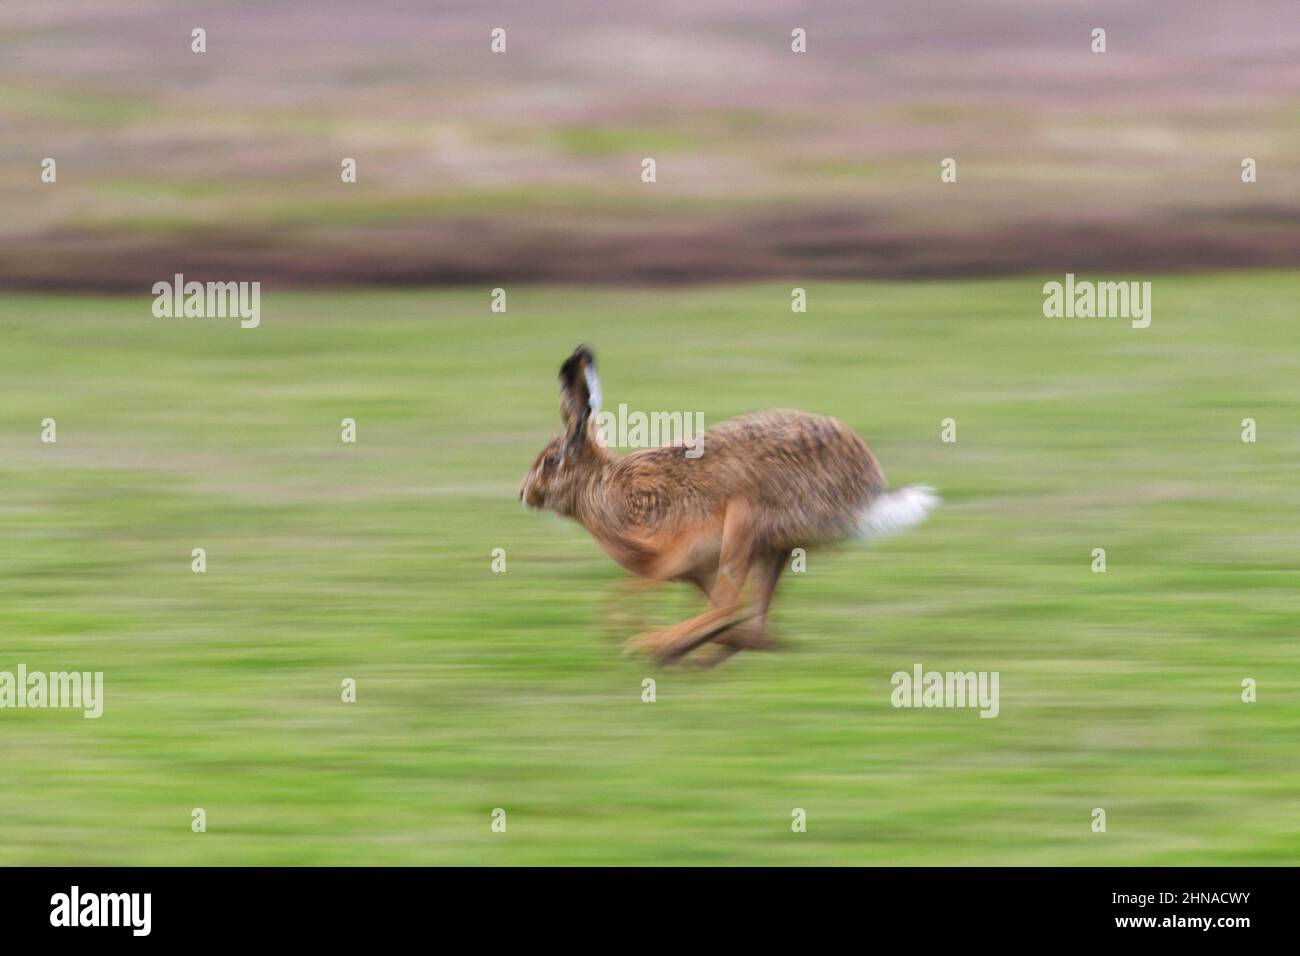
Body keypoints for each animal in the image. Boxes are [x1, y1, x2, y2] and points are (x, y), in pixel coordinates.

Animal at [520, 345, 938, 666]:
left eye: (551, 461)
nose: (525, 494)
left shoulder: (678, 552)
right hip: (770, 547)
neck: (603, 488)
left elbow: (636, 591)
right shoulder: (695, 569)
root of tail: (868, 491)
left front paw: (625, 631)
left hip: (744, 518)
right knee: (751, 617)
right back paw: (703, 652)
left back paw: (655, 647)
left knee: (728, 607)